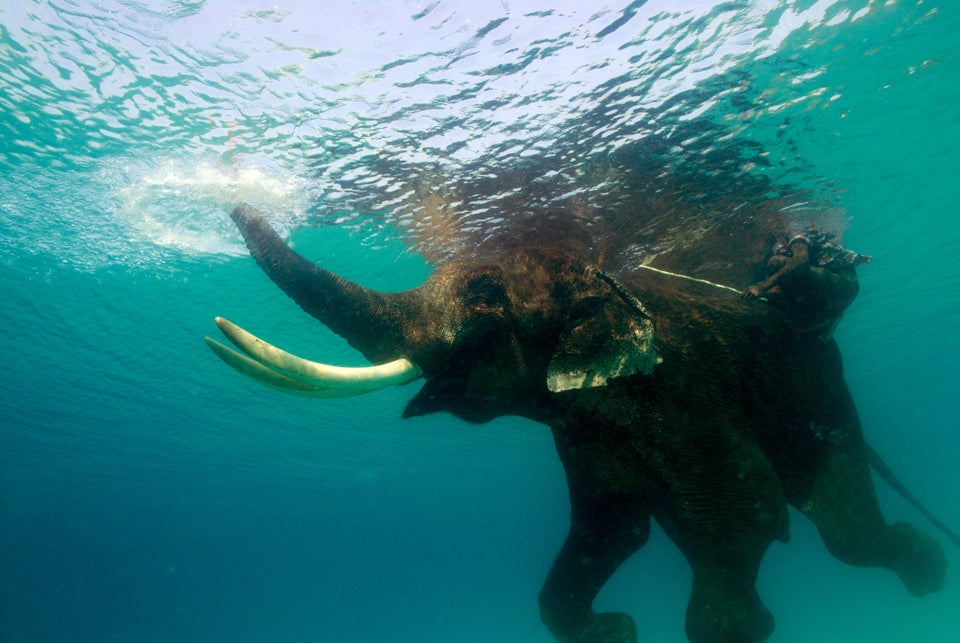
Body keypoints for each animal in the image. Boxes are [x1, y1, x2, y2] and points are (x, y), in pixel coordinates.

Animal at [206, 205, 948, 643]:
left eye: (483, 302)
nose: (231, 191)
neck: (604, 285)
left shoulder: (686, 393)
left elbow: (747, 507)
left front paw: (741, 627)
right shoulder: (582, 433)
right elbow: (611, 529)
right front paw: (619, 629)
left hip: (824, 401)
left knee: (846, 530)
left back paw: (930, 575)